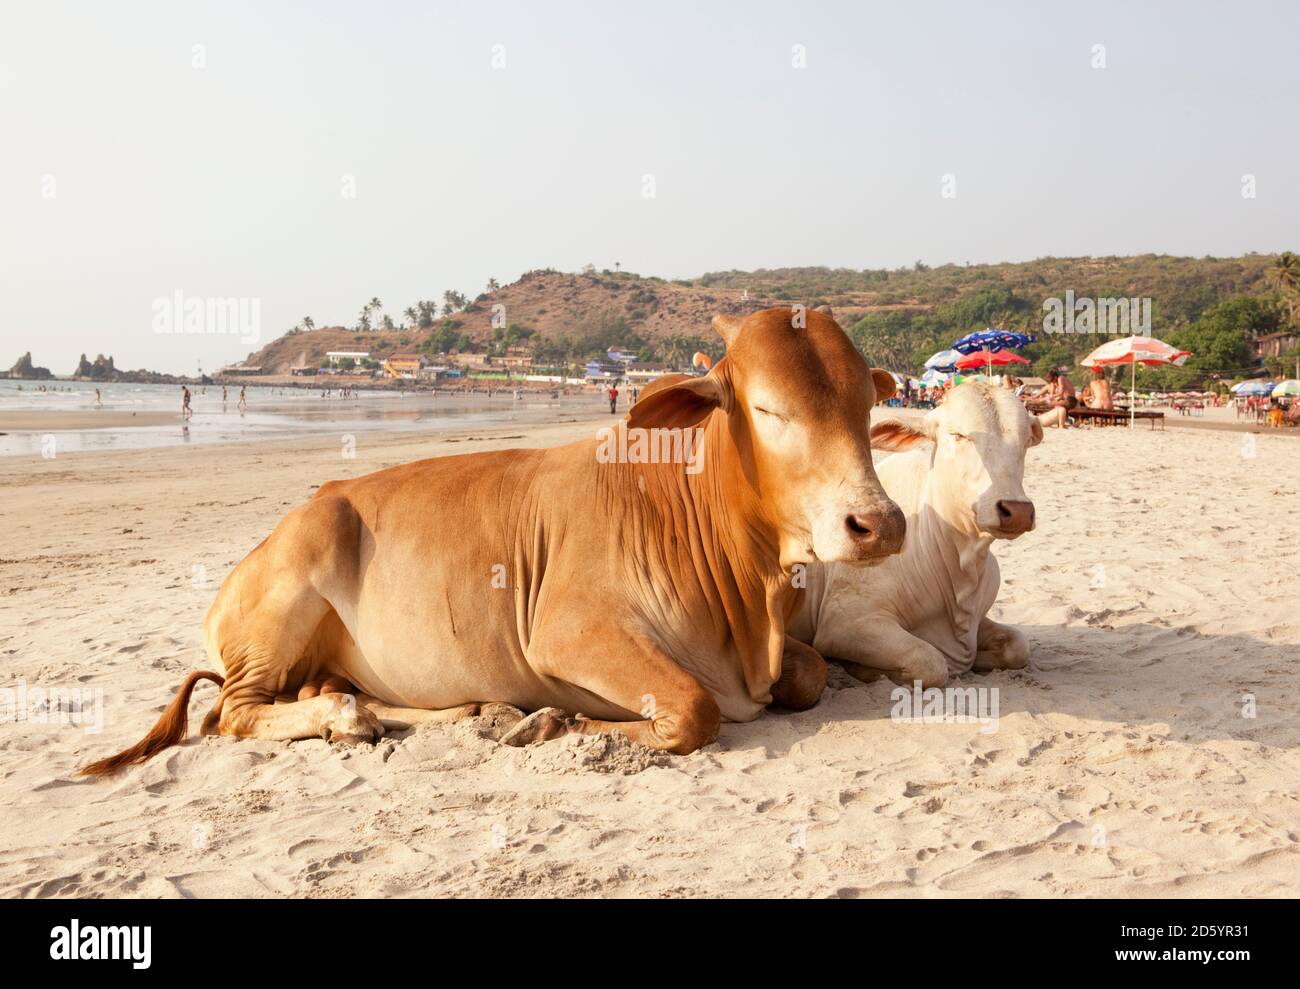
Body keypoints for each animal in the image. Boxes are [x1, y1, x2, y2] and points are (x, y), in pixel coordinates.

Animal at [82, 307, 906, 775]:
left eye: (865, 403)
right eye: (767, 409)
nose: (880, 523)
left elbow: (810, 671)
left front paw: (536, 719)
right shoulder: (568, 632)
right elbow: (694, 709)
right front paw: (559, 721)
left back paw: (421, 713)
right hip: (281, 605)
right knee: (231, 713)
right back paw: (350, 717)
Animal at [788, 381, 1042, 688]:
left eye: (1026, 441)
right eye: (958, 435)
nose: (1017, 510)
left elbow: (1018, 646)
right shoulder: (845, 622)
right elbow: (931, 662)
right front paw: (862, 669)